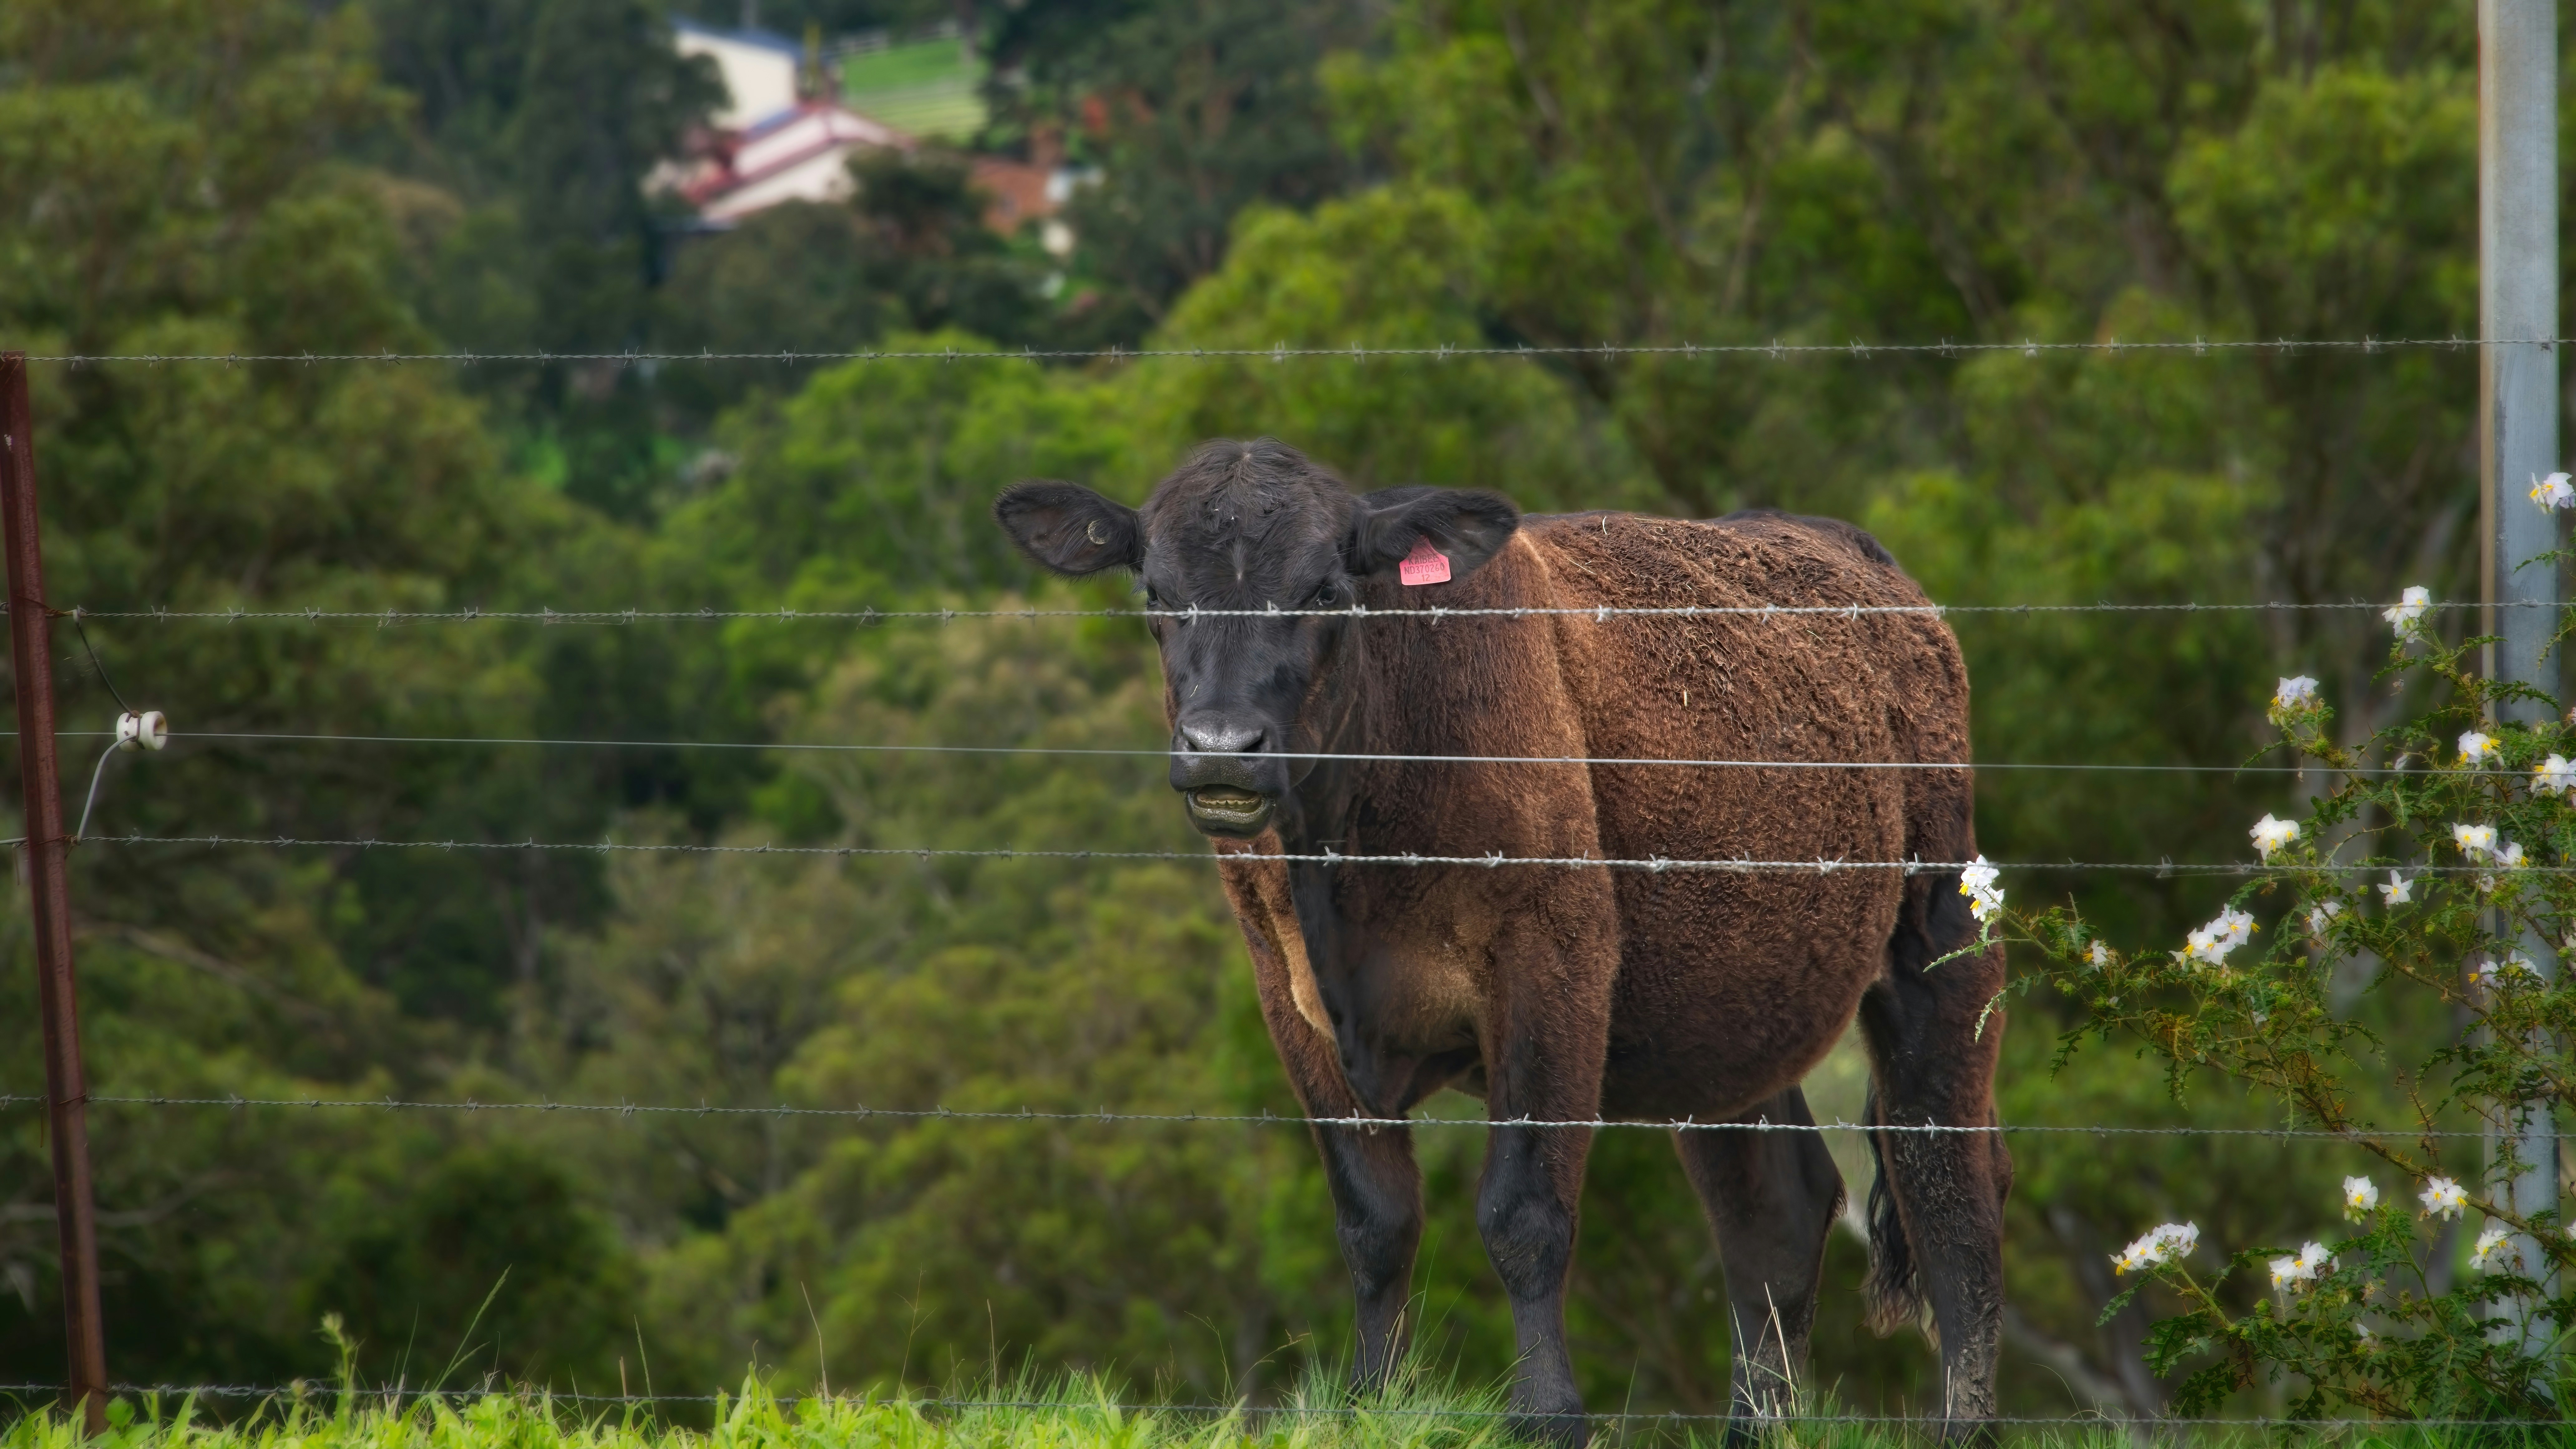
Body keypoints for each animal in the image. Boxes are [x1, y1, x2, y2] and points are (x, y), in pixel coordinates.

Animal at [994, 438, 2008, 1444]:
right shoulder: (1292, 1002)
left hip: (1941, 936)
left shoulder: (1550, 966)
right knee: (1776, 1216)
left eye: (1325, 588)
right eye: (1155, 592)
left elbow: (1523, 1215)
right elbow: (1375, 1223)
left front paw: (1546, 1414)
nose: (1220, 748)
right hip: (1724, 1014)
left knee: (1953, 1198)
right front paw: (1370, 1401)